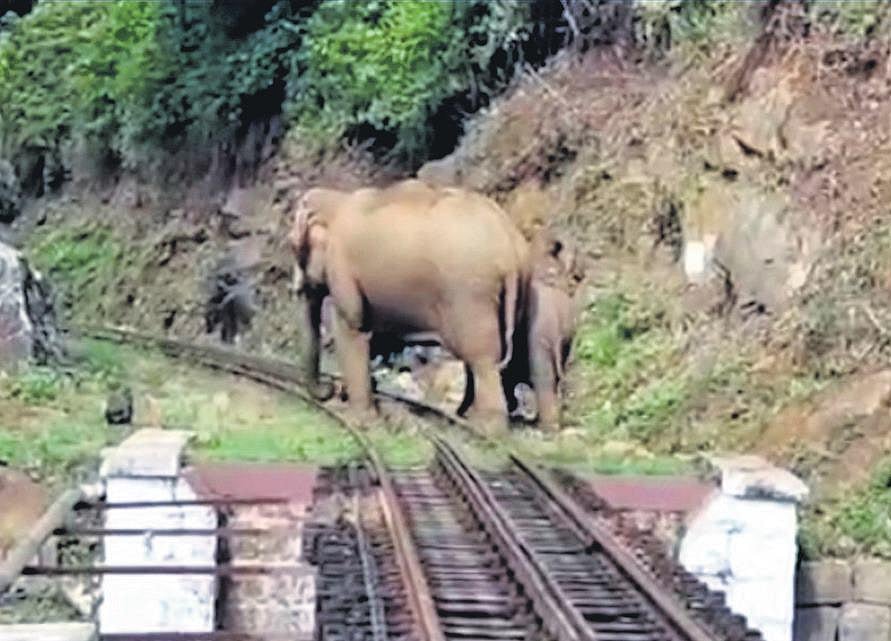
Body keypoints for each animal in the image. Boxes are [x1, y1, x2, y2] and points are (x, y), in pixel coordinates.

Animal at [288, 179, 530, 434]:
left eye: (292, 244)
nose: (330, 388)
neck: (337, 200)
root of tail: (510, 245)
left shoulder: (341, 268)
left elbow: (352, 327)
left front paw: (361, 422)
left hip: (471, 294)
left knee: (481, 358)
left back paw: (486, 429)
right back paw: (465, 417)